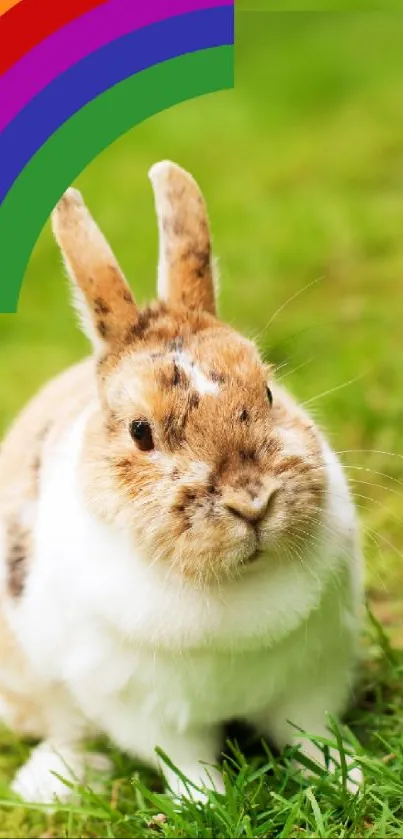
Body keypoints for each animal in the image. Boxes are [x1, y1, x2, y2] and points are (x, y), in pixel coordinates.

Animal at [0, 161, 364, 805]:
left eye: (268, 392)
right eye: (141, 432)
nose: (252, 501)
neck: (235, 584)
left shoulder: (314, 674)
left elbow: (310, 733)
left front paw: (348, 777)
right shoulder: (148, 710)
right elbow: (186, 761)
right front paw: (208, 801)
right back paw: (56, 780)